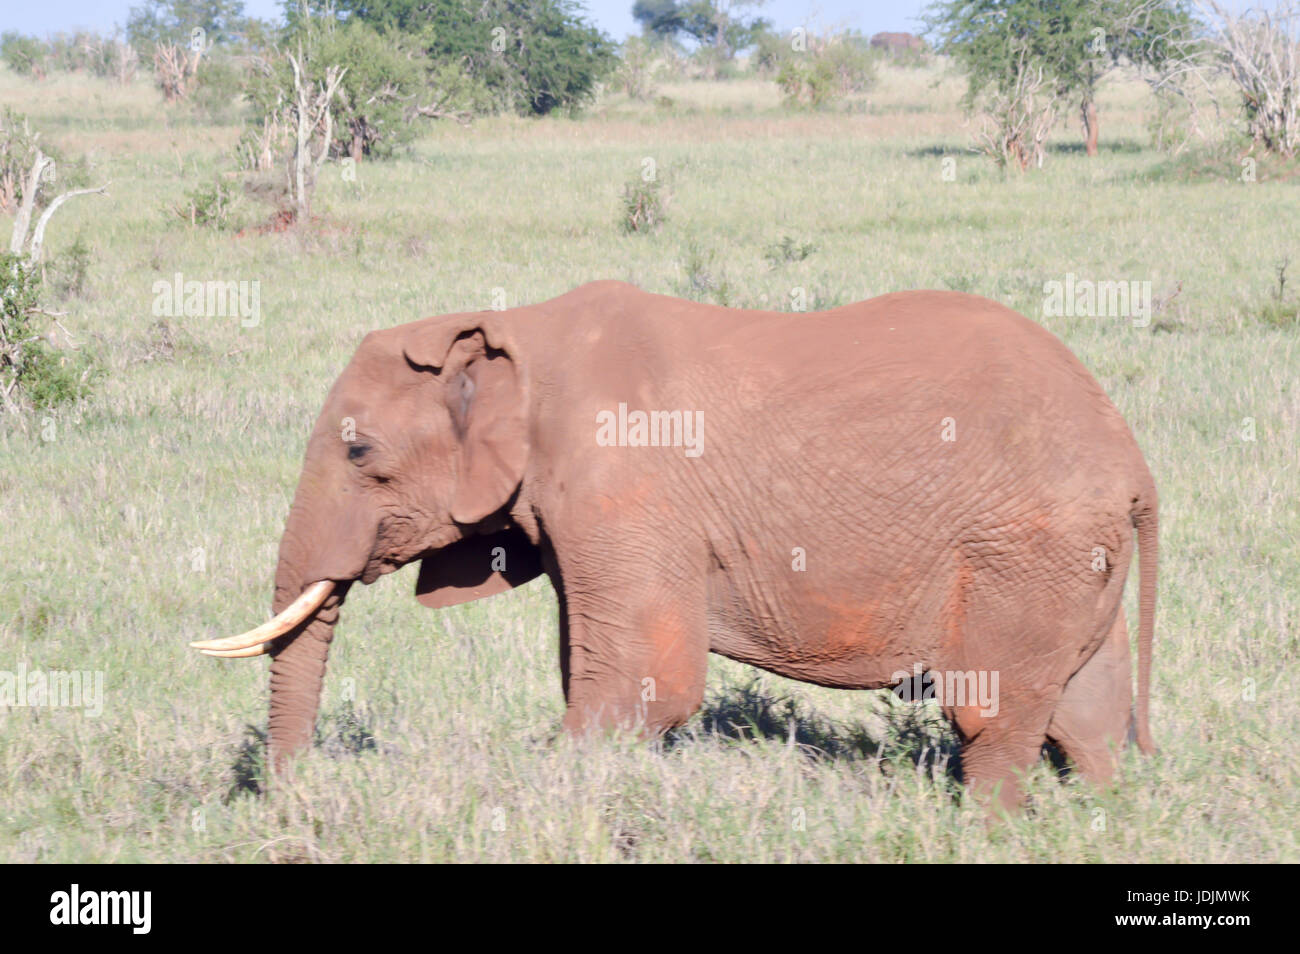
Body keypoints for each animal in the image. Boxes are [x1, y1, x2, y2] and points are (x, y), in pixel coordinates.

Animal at [195, 281, 1158, 812]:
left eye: (359, 453)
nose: (289, 799)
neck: (519, 333)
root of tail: (1131, 456)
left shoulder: (623, 486)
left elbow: (643, 684)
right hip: (1071, 558)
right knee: (1088, 714)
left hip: (1022, 548)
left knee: (988, 712)